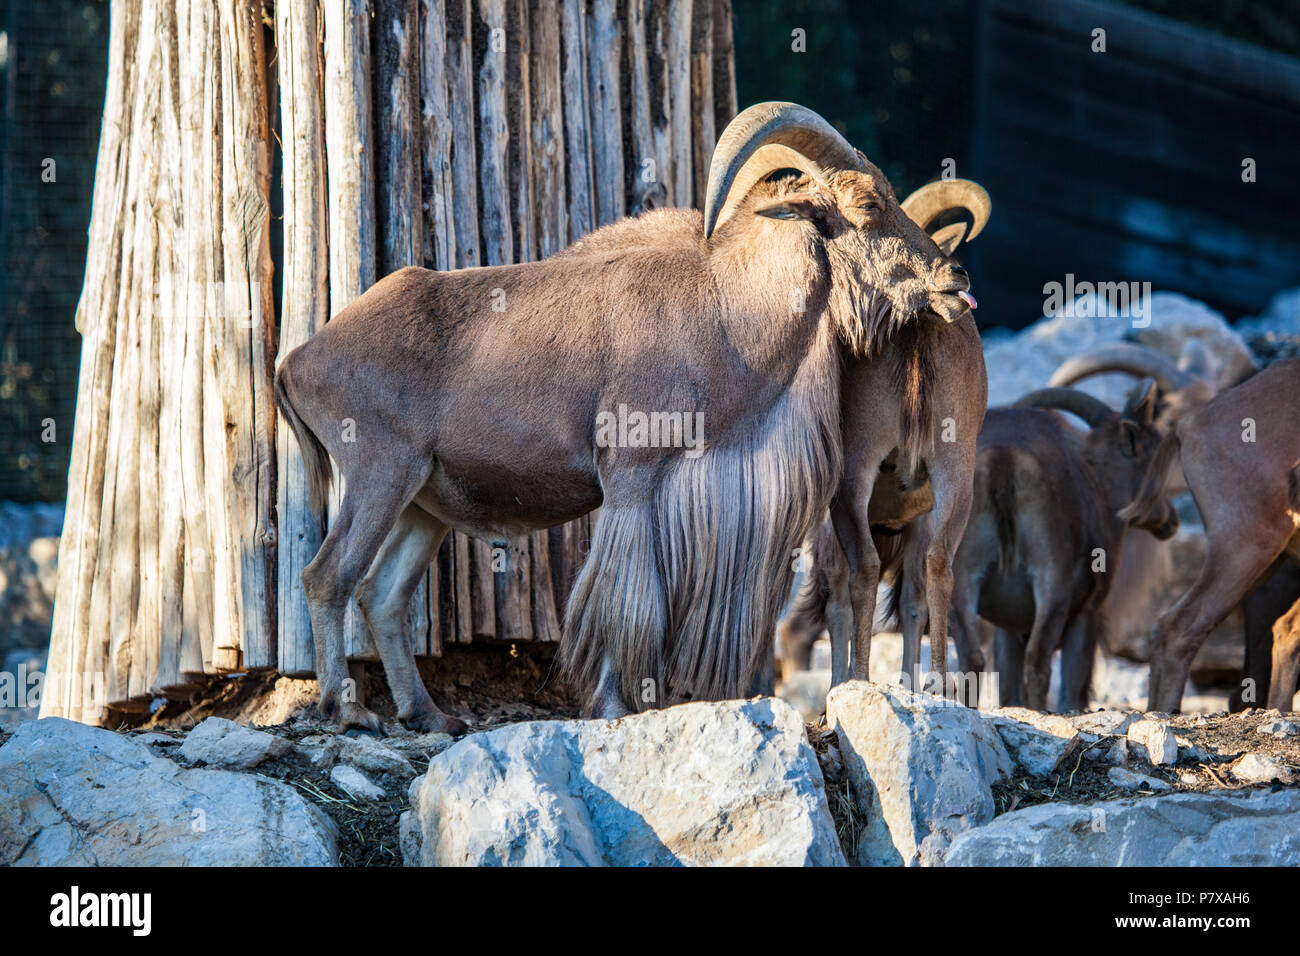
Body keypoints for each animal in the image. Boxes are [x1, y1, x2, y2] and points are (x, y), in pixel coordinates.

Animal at [273, 102, 975, 732]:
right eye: (868, 206)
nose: (955, 278)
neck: (723, 309)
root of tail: (297, 359)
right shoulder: (633, 480)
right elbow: (628, 600)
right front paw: (614, 707)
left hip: (424, 503)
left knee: (382, 593)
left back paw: (427, 715)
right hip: (379, 474)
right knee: (327, 575)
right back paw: (345, 711)